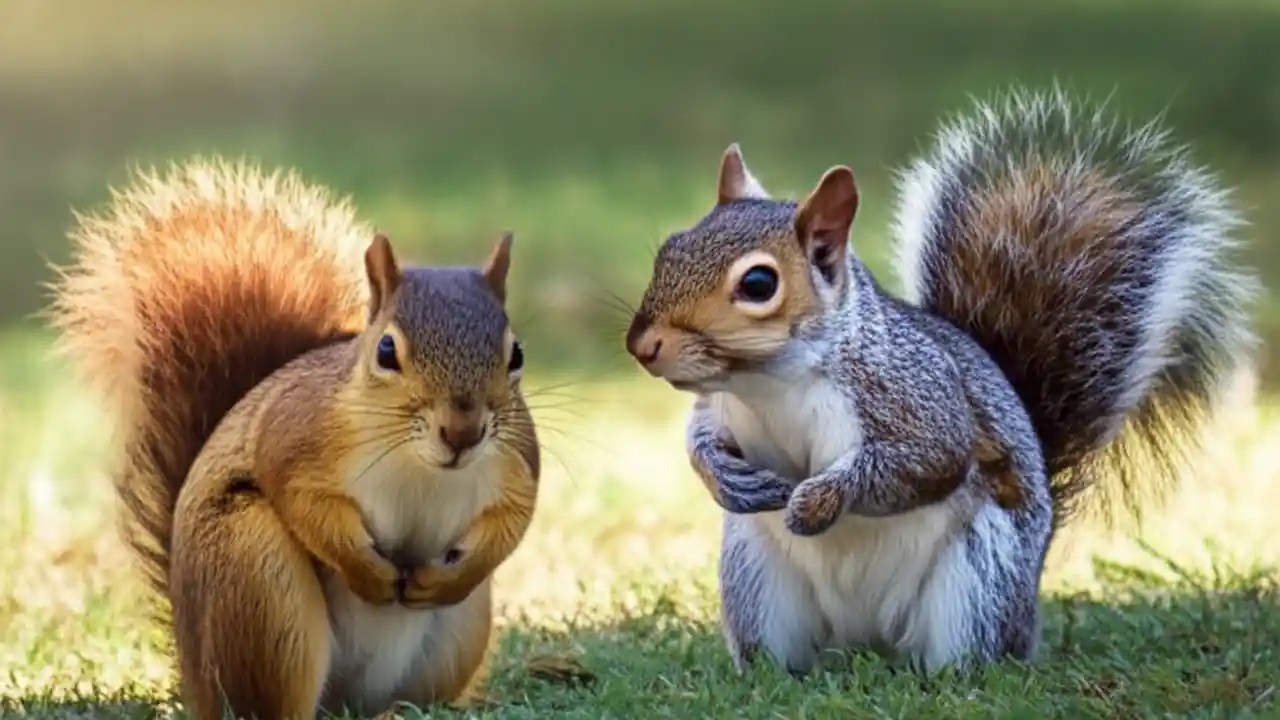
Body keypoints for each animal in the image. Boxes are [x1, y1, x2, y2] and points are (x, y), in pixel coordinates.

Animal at [47, 158, 540, 719]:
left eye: (517, 354)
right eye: (386, 350)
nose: (463, 433)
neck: (420, 465)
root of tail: (195, 678)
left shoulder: (519, 461)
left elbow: (512, 522)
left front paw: (450, 575)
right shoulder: (294, 440)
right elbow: (306, 505)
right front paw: (367, 572)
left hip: (461, 630)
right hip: (257, 580)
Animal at [625, 87, 1256, 674]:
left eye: (758, 283)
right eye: (670, 247)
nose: (642, 346)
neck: (769, 384)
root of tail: (870, 642)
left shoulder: (912, 391)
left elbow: (927, 458)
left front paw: (816, 502)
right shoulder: (720, 406)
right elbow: (700, 439)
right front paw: (723, 476)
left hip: (978, 578)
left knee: (964, 654)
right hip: (754, 579)